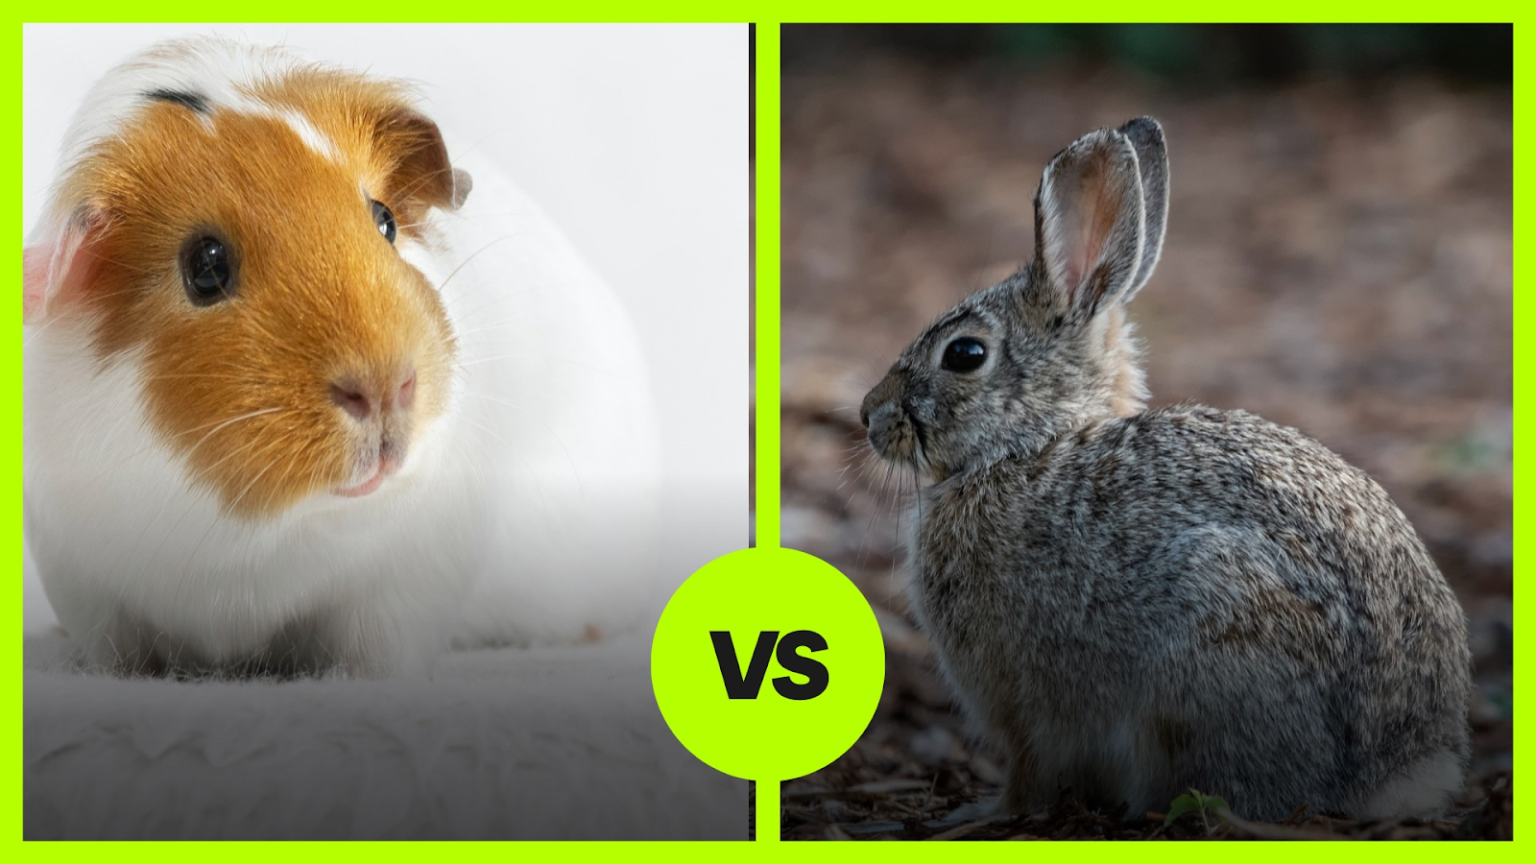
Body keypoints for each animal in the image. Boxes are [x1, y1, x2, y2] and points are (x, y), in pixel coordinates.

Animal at [22, 37, 663, 677]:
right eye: (205, 265)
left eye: (384, 220)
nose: (384, 388)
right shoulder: (85, 587)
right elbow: (119, 656)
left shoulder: (404, 589)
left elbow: (375, 656)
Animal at [860, 117, 1472, 822]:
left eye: (964, 354)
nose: (868, 414)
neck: (1029, 448)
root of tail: (1396, 770)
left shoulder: (1021, 701)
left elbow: (1026, 774)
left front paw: (981, 816)